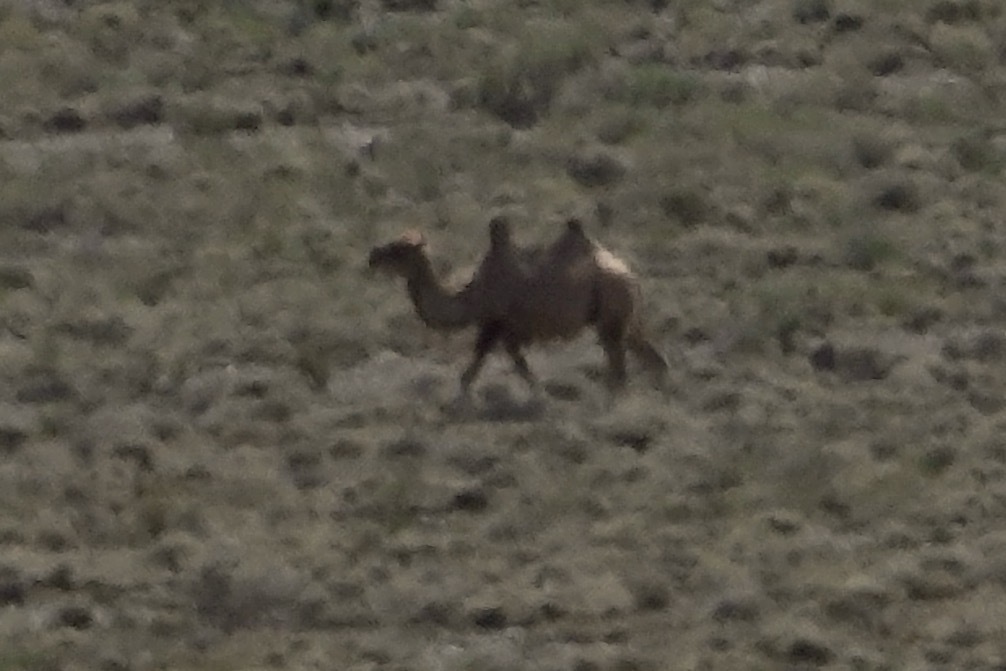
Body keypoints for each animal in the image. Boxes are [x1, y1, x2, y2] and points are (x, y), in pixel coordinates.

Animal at [367, 217, 669, 401]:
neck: (472, 297)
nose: (373, 256)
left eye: (399, 249)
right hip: (624, 318)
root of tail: (629, 274)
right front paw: (539, 394)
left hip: (610, 314)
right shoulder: (508, 333)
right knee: (650, 357)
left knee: (618, 367)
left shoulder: (494, 325)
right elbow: (520, 367)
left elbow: (474, 370)